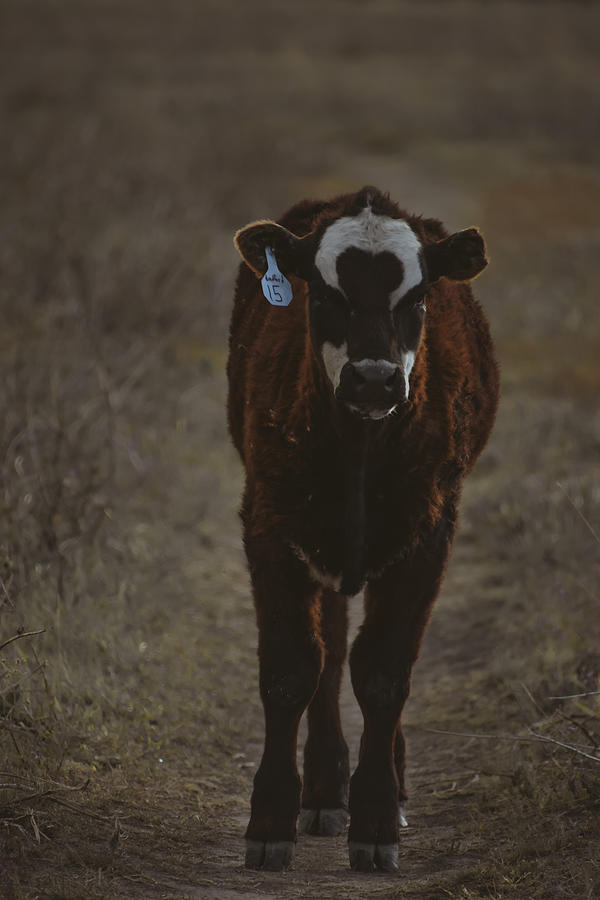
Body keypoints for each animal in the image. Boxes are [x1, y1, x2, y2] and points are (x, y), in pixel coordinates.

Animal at [227, 186, 499, 873]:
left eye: (418, 297)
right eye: (325, 295)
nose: (374, 378)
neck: (357, 451)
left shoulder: (428, 535)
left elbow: (384, 673)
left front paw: (376, 819)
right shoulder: (270, 525)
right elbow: (293, 669)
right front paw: (270, 818)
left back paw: (389, 790)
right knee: (329, 649)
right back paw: (325, 790)